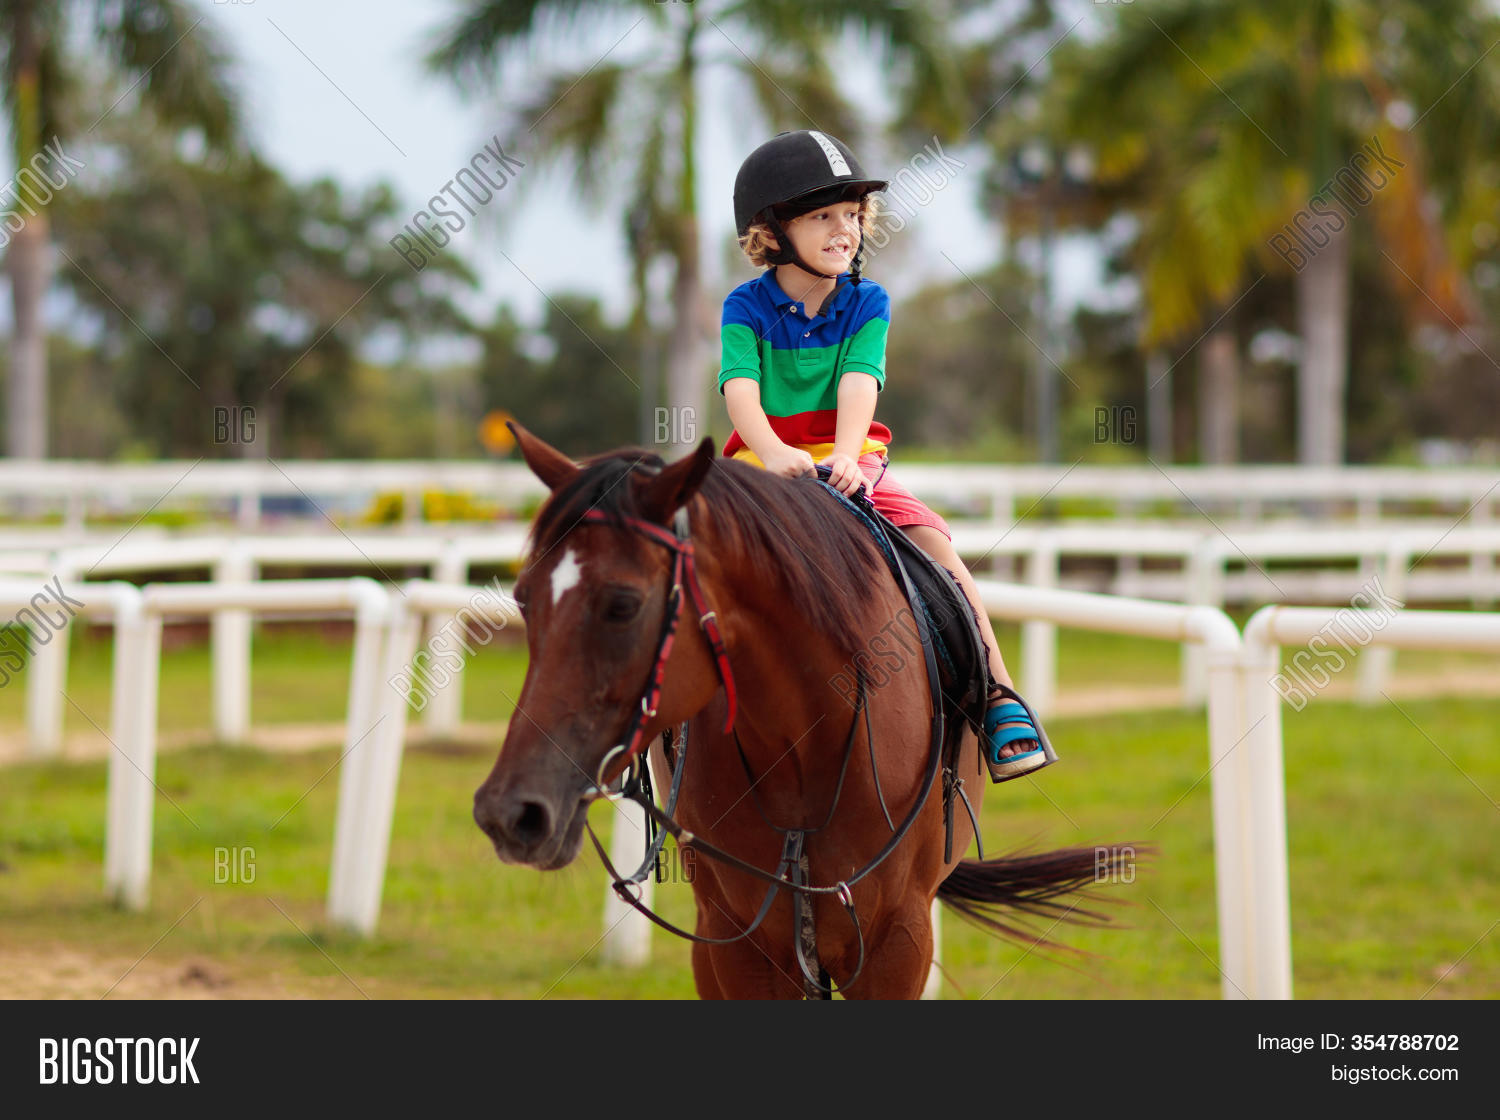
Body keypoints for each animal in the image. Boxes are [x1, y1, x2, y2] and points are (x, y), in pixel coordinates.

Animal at [474, 423, 1124, 998]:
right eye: (523, 599)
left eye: (623, 604)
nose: (509, 812)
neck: (802, 740)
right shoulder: (742, 945)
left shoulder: (897, 941)